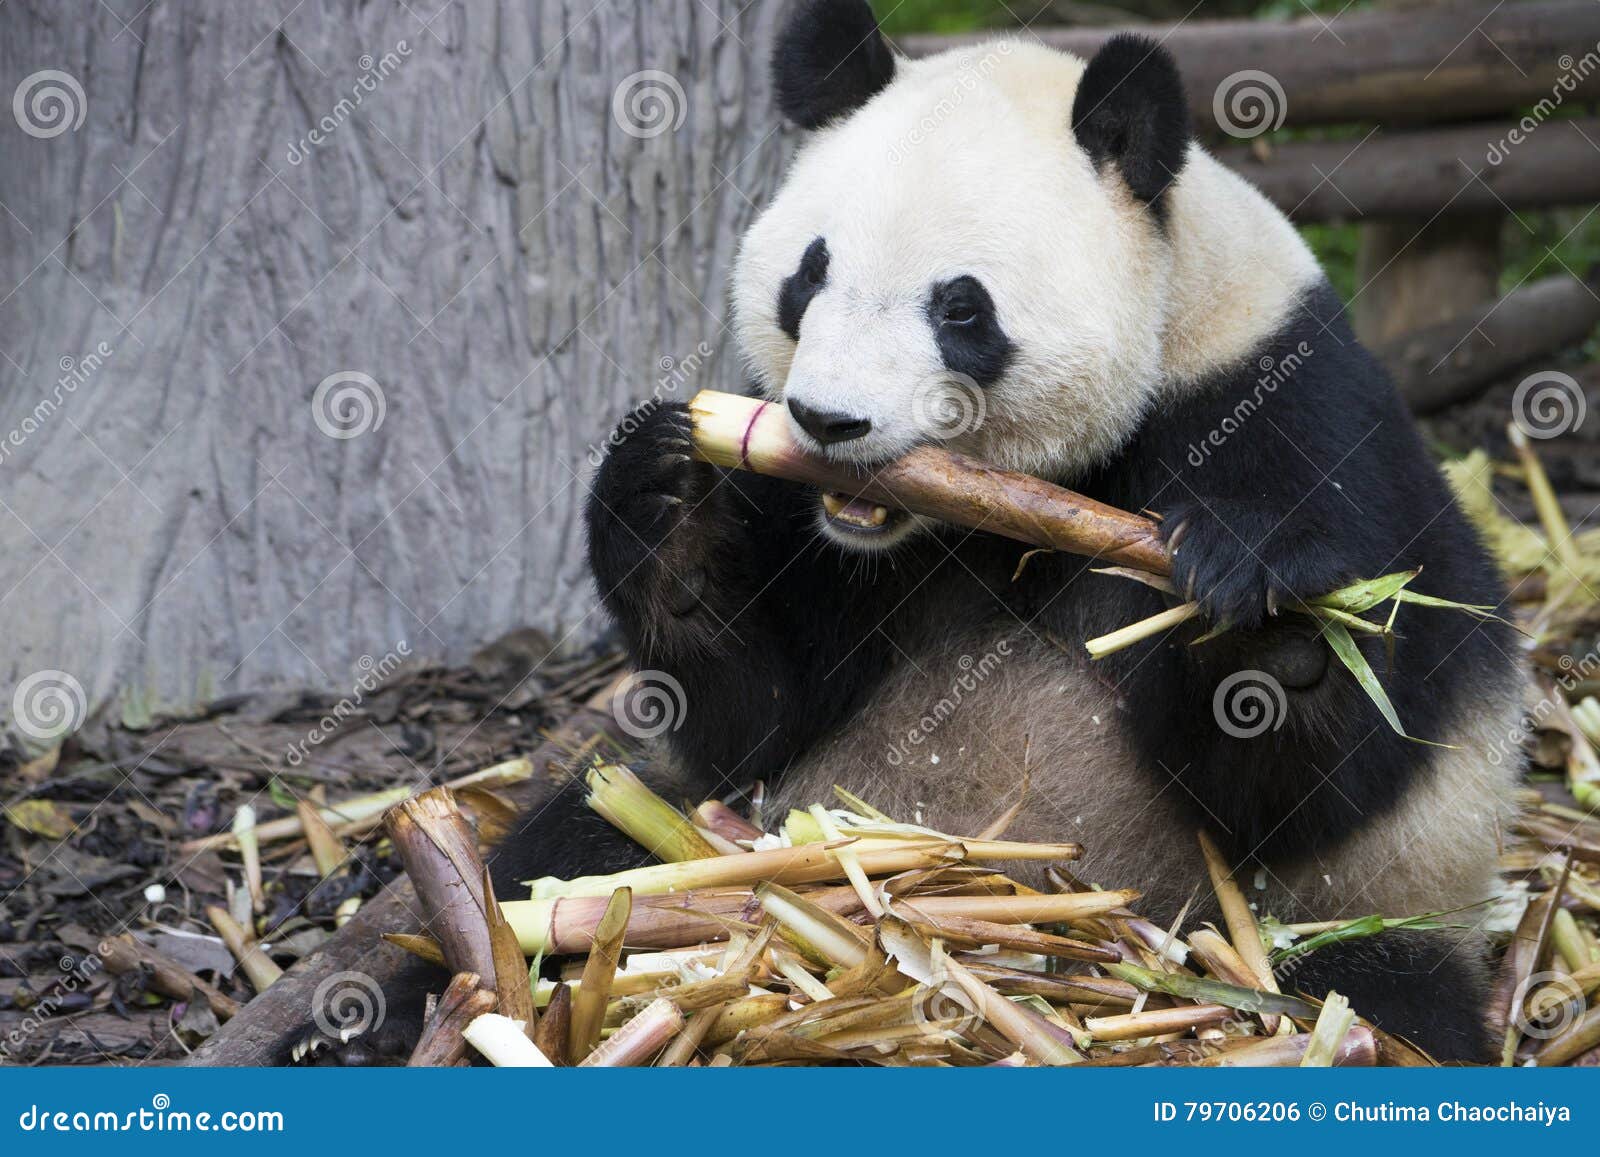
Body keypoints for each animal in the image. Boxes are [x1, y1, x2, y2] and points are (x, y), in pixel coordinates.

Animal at [573, 0, 1524, 1062]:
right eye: (808, 275)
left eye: (960, 306)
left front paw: (1266, 616)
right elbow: (752, 715)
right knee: (583, 846)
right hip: (692, 839)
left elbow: (1323, 780)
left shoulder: (1286, 407)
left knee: (1381, 991)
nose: (829, 422)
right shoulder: (796, 511)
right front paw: (662, 498)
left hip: (1378, 905)